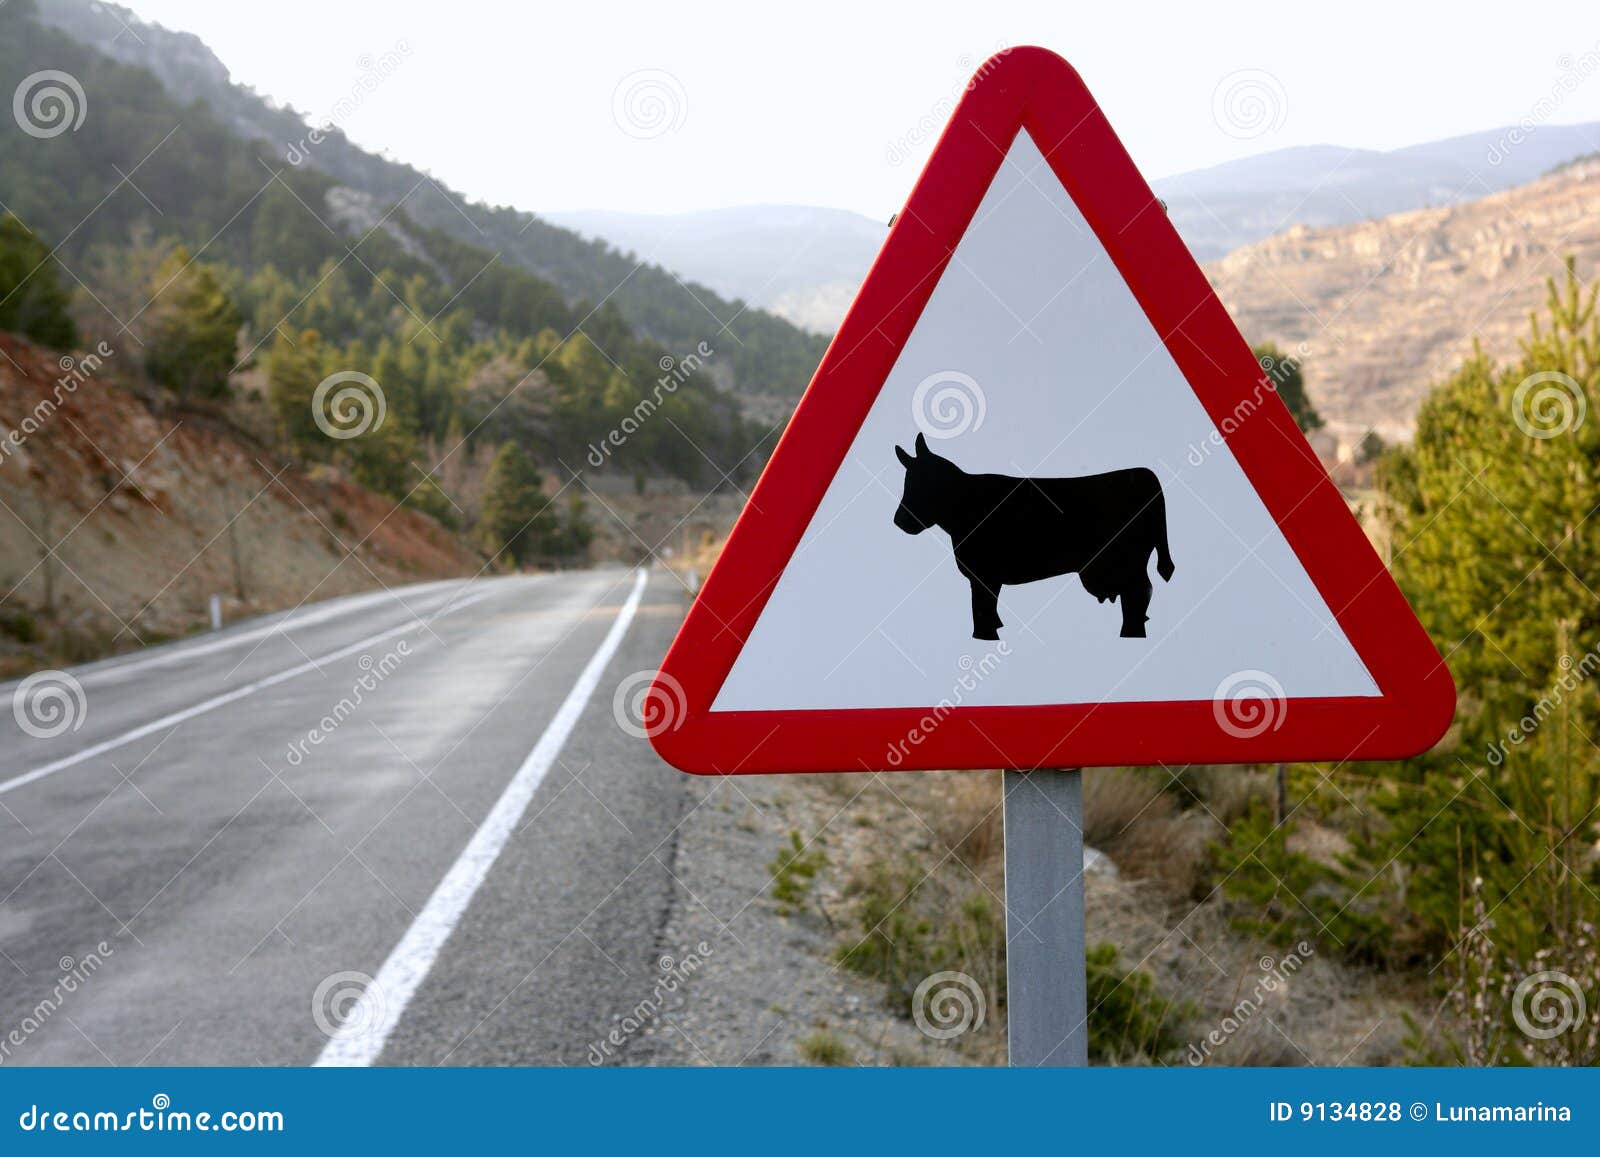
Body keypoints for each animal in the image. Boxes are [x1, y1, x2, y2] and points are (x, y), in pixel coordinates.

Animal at [892, 433, 1175, 640]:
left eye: (923, 485)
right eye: (907, 482)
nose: (899, 521)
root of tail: (1146, 474)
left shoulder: (984, 574)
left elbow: (981, 608)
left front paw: (985, 636)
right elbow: (988, 608)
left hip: (1129, 561)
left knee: (1138, 594)